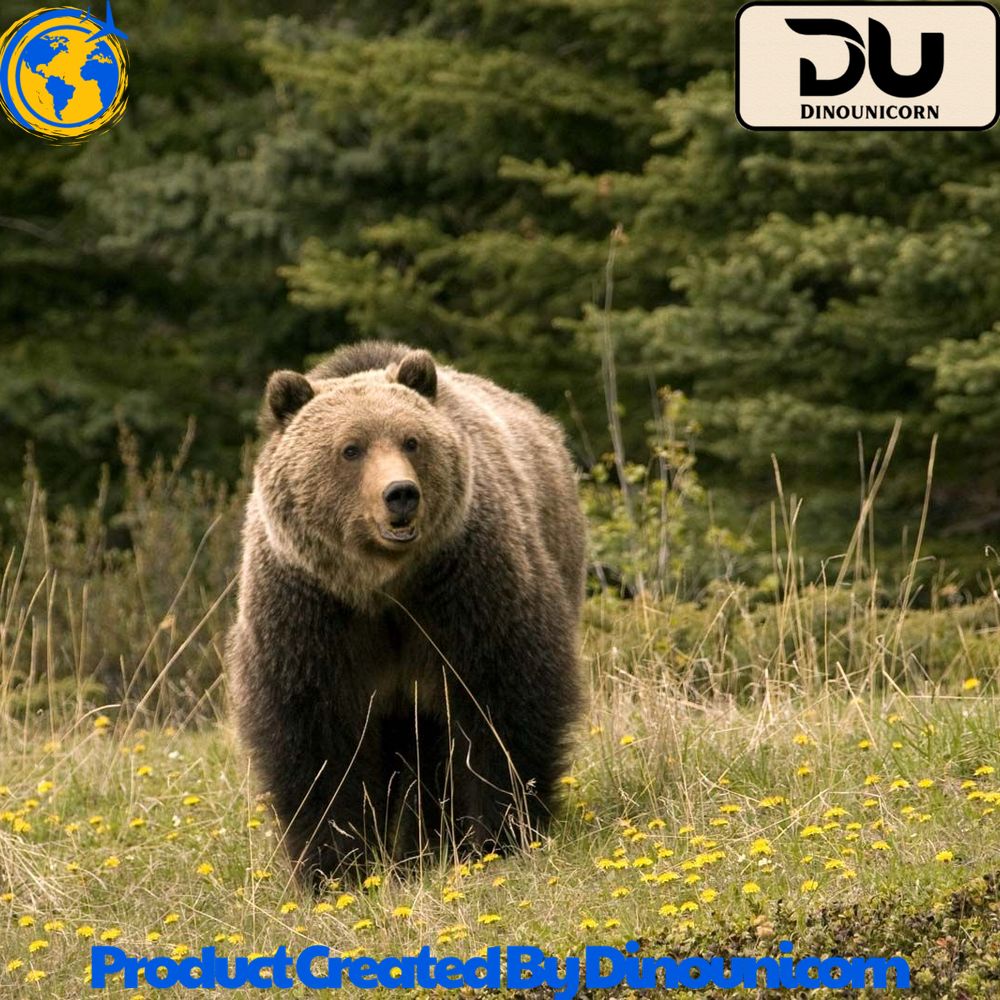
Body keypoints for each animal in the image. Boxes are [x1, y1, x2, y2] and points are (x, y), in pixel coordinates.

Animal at [226, 341, 586, 886]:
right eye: (350, 448)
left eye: (411, 441)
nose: (401, 494)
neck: (383, 586)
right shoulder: (311, 611)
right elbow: (316, 737)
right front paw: (335, 865)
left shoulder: (464, 589)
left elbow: (499, 703)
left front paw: (496, 836)